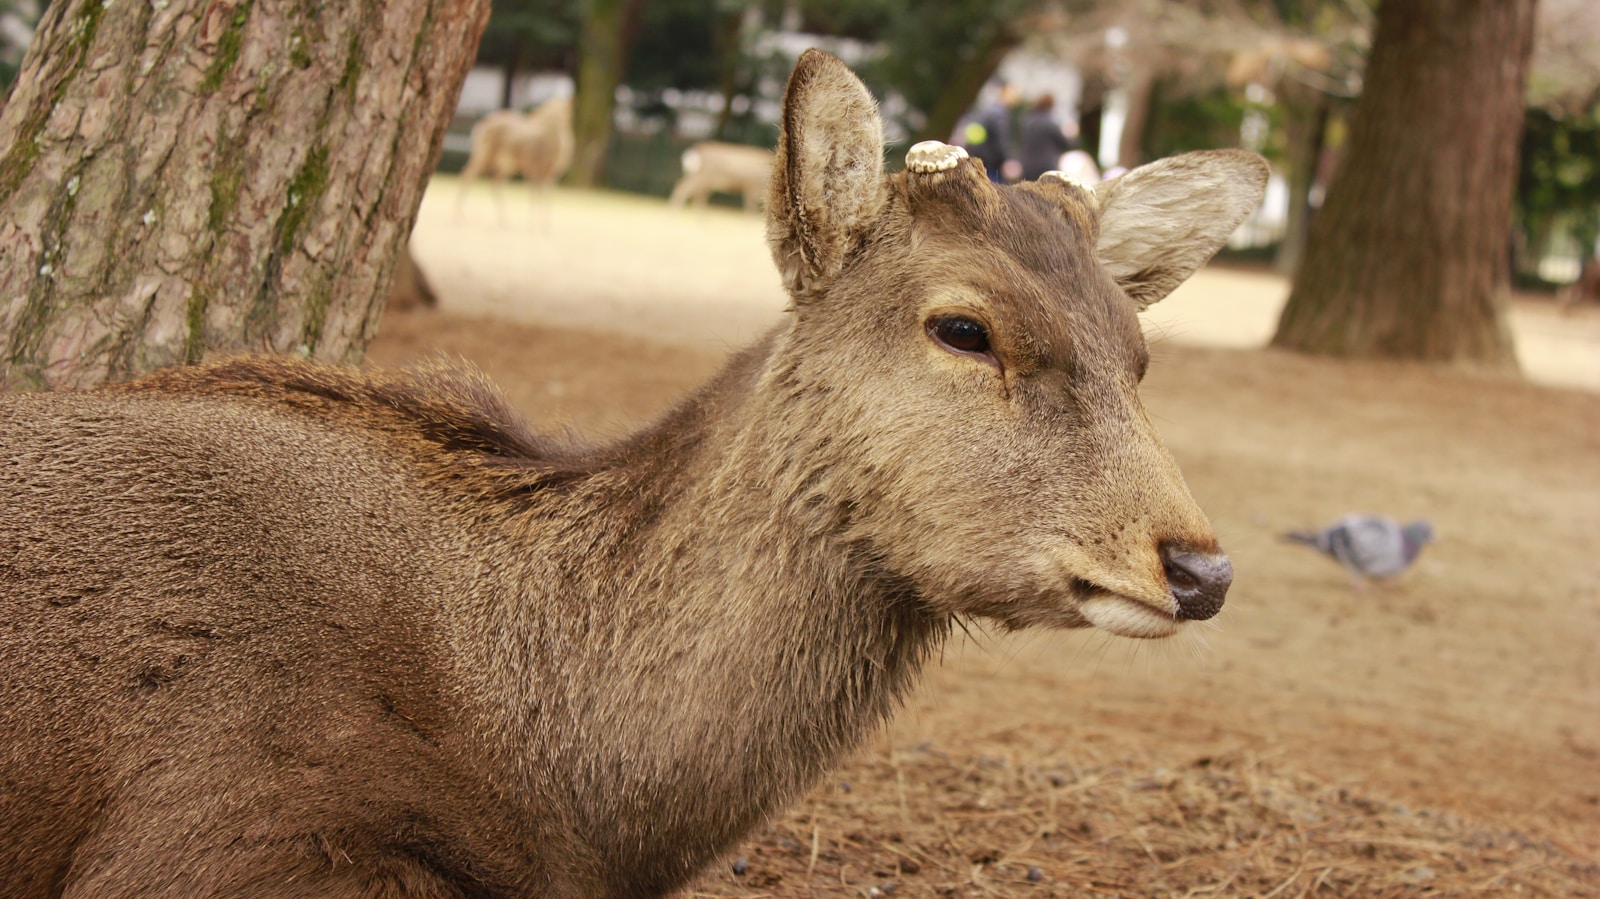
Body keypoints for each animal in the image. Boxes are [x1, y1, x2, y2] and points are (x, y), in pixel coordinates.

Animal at [453, 93, 574, 224]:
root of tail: (483, 123)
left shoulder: (551, 173)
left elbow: (546, 196)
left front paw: (544, 223)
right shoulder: (534, 168)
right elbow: (536, 195)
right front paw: (534, 223)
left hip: (507, 165)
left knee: (495, 182)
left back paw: (503, 219)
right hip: (485, 157)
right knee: (468, 175)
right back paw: (458, 214)